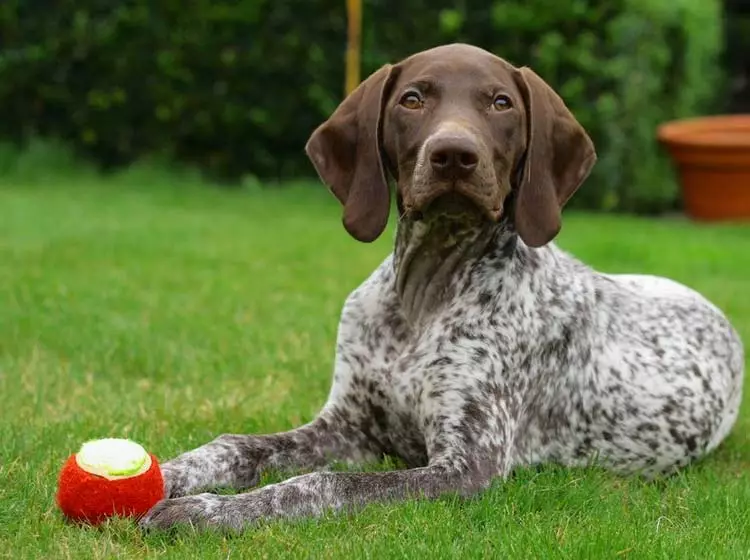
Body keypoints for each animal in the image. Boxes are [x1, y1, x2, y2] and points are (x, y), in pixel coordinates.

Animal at [141, 43, 748, 528]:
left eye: (501, 103)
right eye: (413, 99)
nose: (454, 154)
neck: (425, 296)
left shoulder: (465, 465)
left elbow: (323, 483)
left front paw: (211, 511)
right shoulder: (348, 427)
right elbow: (237, 445)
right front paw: (170, 473)